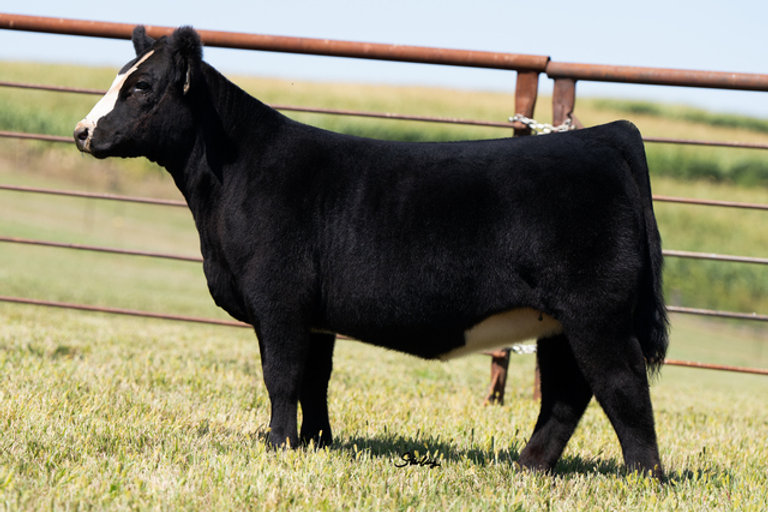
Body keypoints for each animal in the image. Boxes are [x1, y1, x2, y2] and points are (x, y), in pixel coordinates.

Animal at [74, 26, 668, 478]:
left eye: (141, 86)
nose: (81, 131)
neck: (233, 176)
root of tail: (602, 136)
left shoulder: (279, 302)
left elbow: (281, 375)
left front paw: (277, 444)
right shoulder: (314, 315)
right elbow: (316, 379)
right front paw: (317, 441)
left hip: (596, 314)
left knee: (621, 384)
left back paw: (643, 477)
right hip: (559, 321)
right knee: (567, 391)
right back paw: (528, 467)